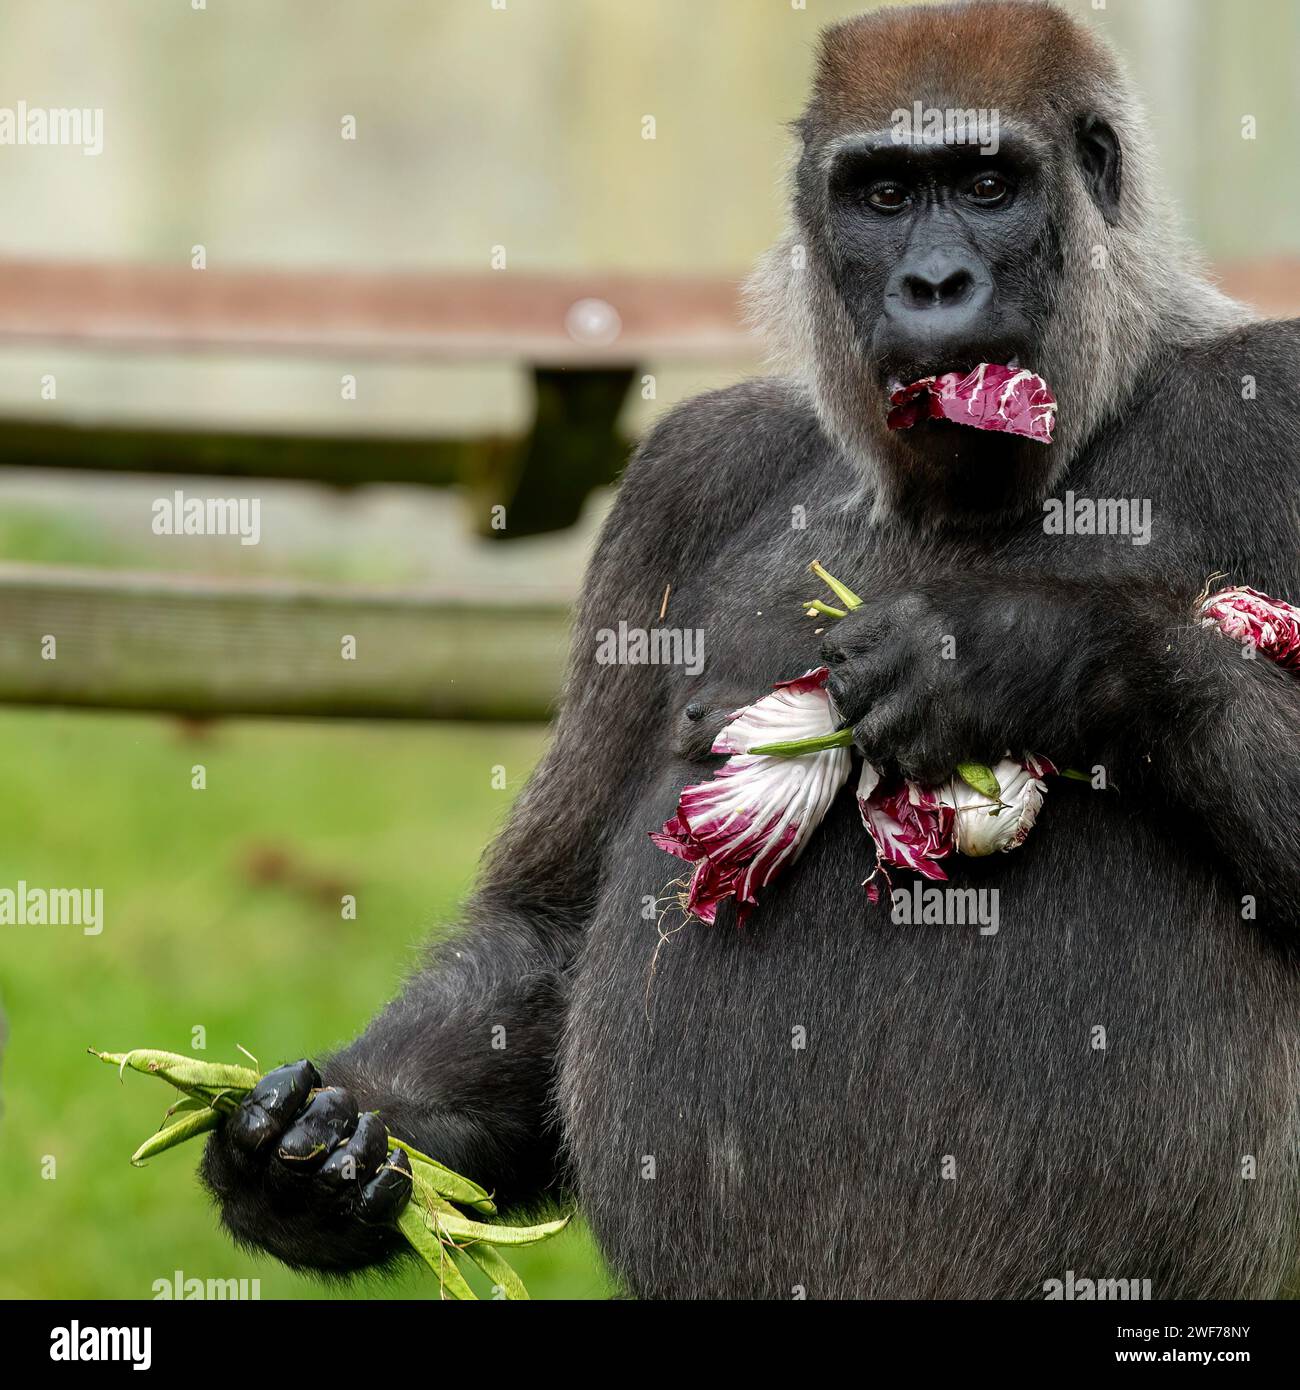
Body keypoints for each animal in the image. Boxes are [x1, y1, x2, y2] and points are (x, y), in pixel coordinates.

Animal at [201, 0, 1300, 1298]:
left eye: (988, 183)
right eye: (883, 194)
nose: (935, 282)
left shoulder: (1276, 406)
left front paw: (1017, 651)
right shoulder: (684, 475)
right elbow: (545, 925)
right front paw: (315, 1161)